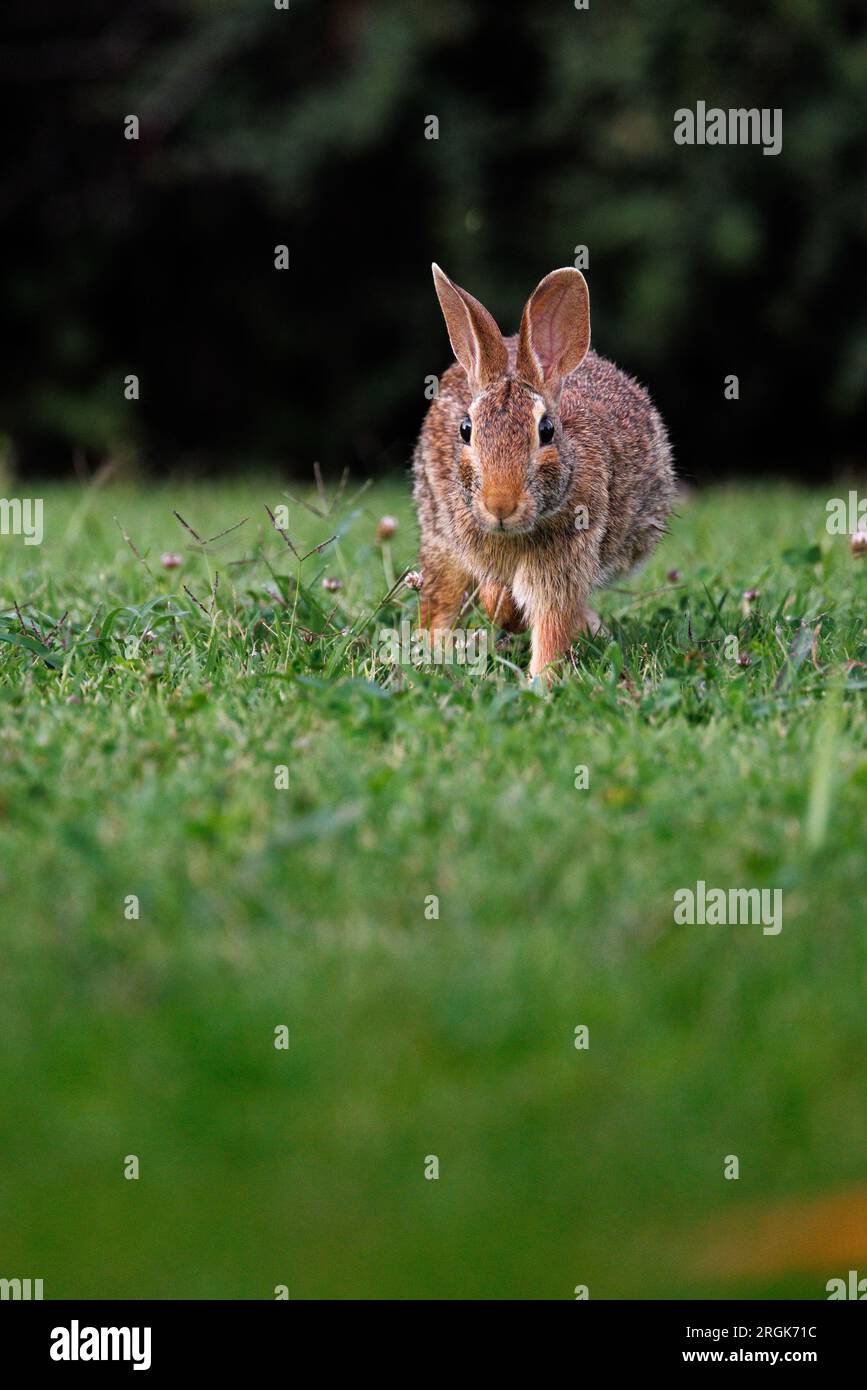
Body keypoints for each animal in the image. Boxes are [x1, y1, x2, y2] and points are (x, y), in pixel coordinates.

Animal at [412, 264, 676, 681]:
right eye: (466, 430)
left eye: (547, 430)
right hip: (439, 535)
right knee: (440, 599)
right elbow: (494, 594)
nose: (500, 505)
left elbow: (551, 621)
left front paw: (542, 680)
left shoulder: (564, 560)